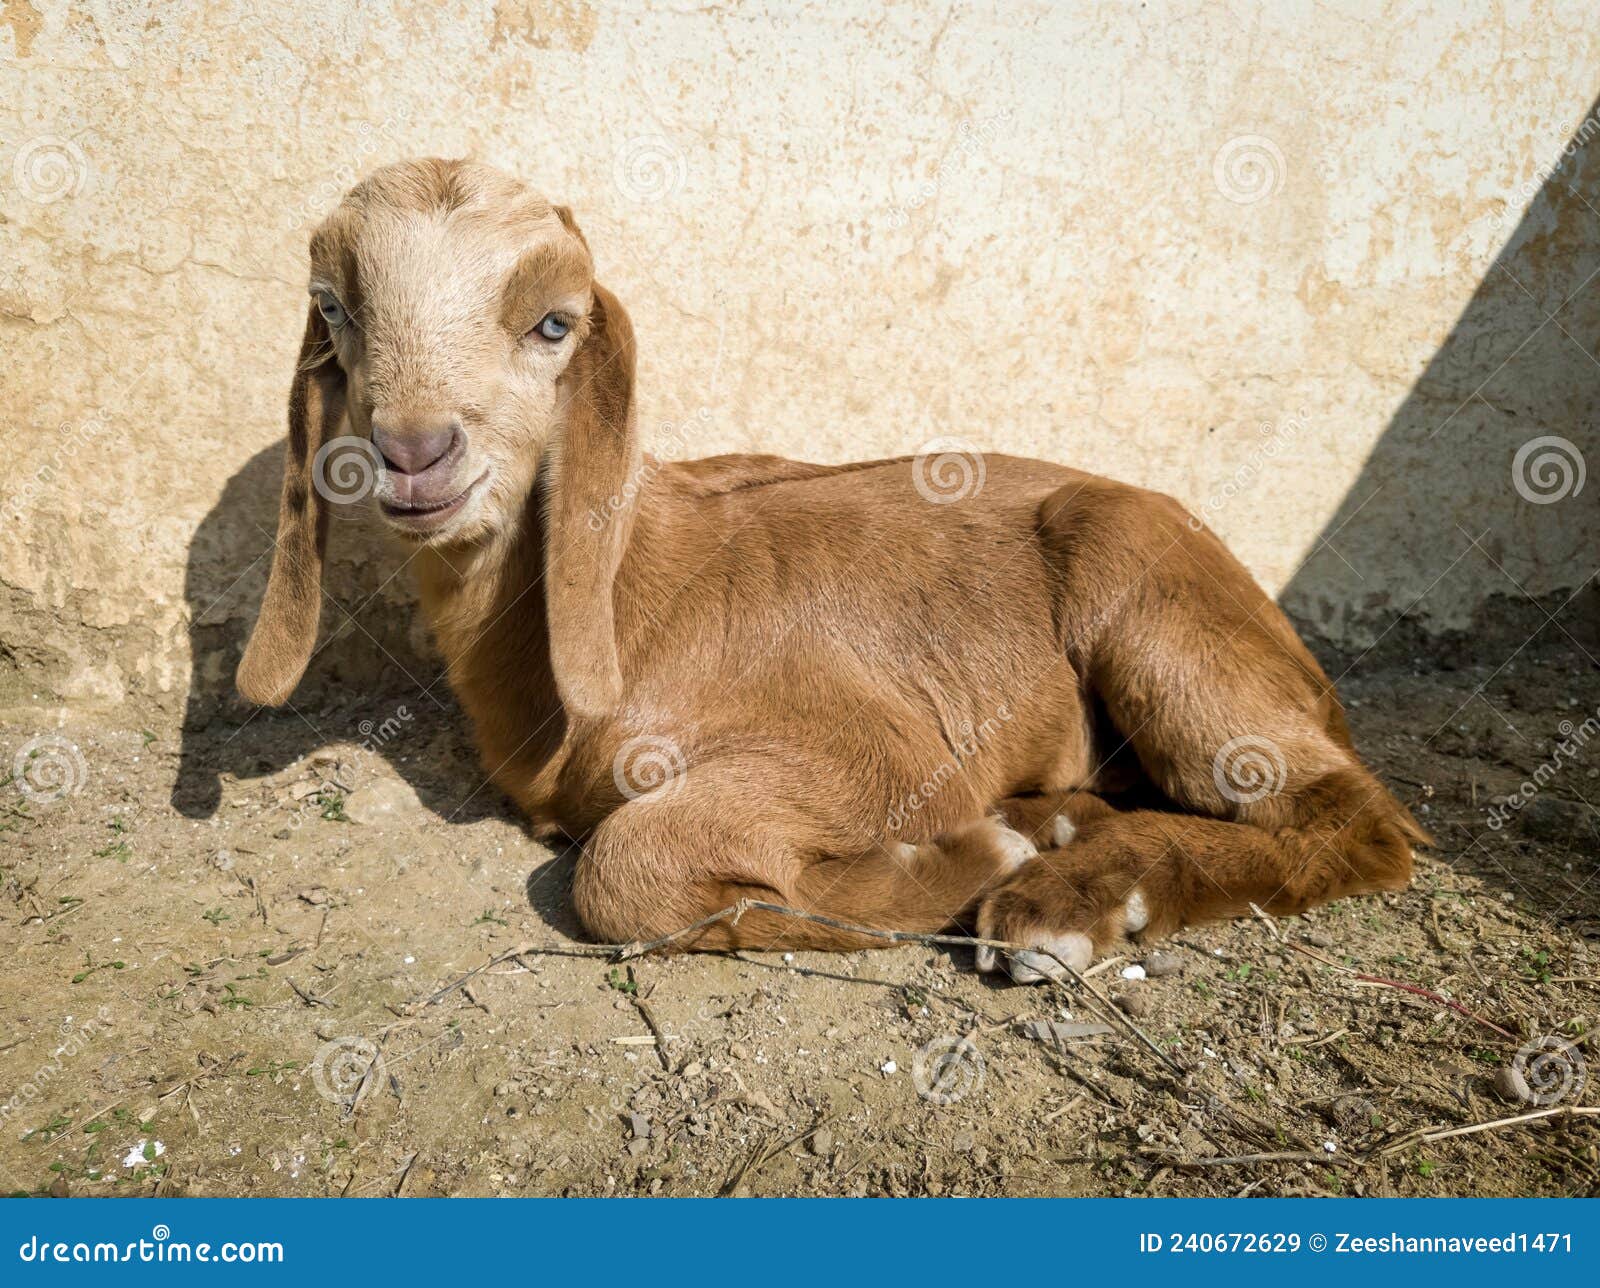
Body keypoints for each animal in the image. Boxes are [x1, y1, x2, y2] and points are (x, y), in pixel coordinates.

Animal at [238, 158, 1426, 982]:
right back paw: (1066, 830)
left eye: (553, 324)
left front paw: (971, 857)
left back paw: (1067, 900)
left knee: (1351, 819)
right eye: (335, 310)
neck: (620, 591)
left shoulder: (877, 751)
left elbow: (622, 871)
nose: (415, 453)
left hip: (1152, 611)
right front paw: (995, 840)